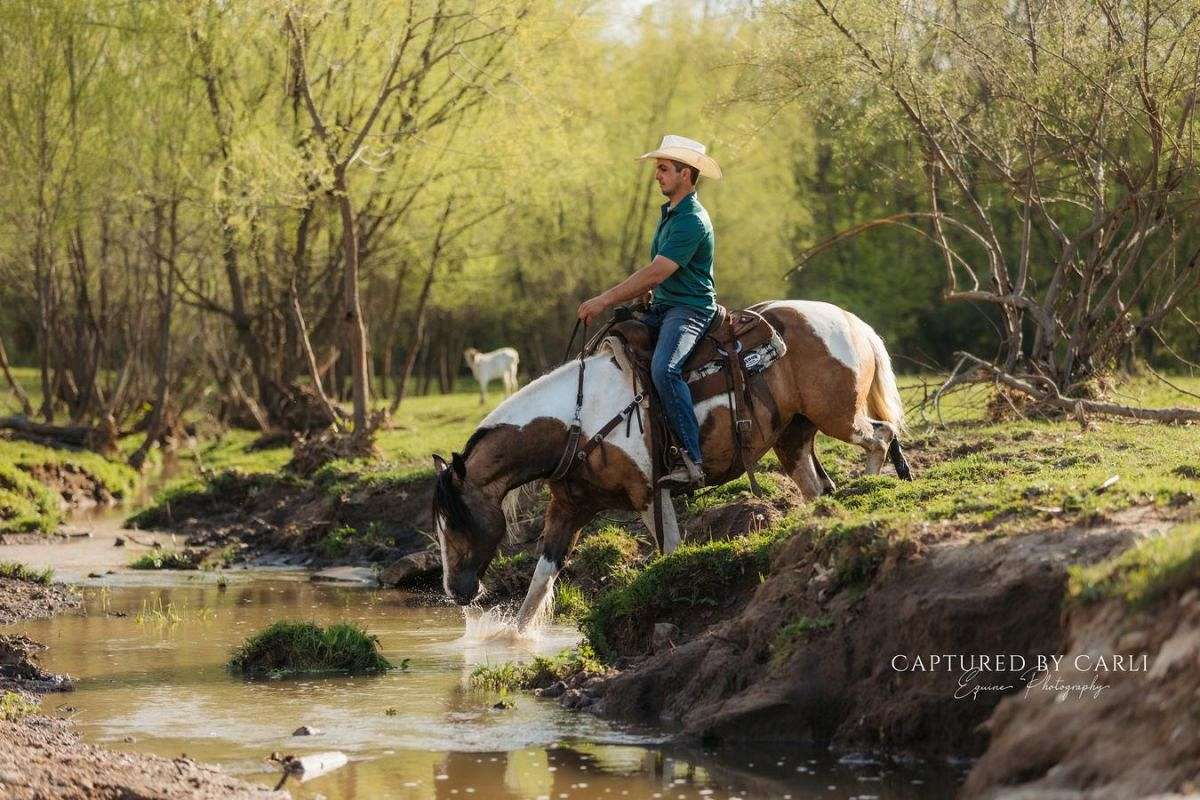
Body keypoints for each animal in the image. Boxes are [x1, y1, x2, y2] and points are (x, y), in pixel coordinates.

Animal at [434, 300, 912, 630]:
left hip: (839, 416)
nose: (455, 592)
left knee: (882, 436)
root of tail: (852, 322)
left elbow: (670, 550)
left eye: (456, 521)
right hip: (792, 438)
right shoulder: (568, 508)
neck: (578, 422)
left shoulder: (650, 493)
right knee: (819, 486)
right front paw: (512, 643)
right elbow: (540, 582)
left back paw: (866, 490)